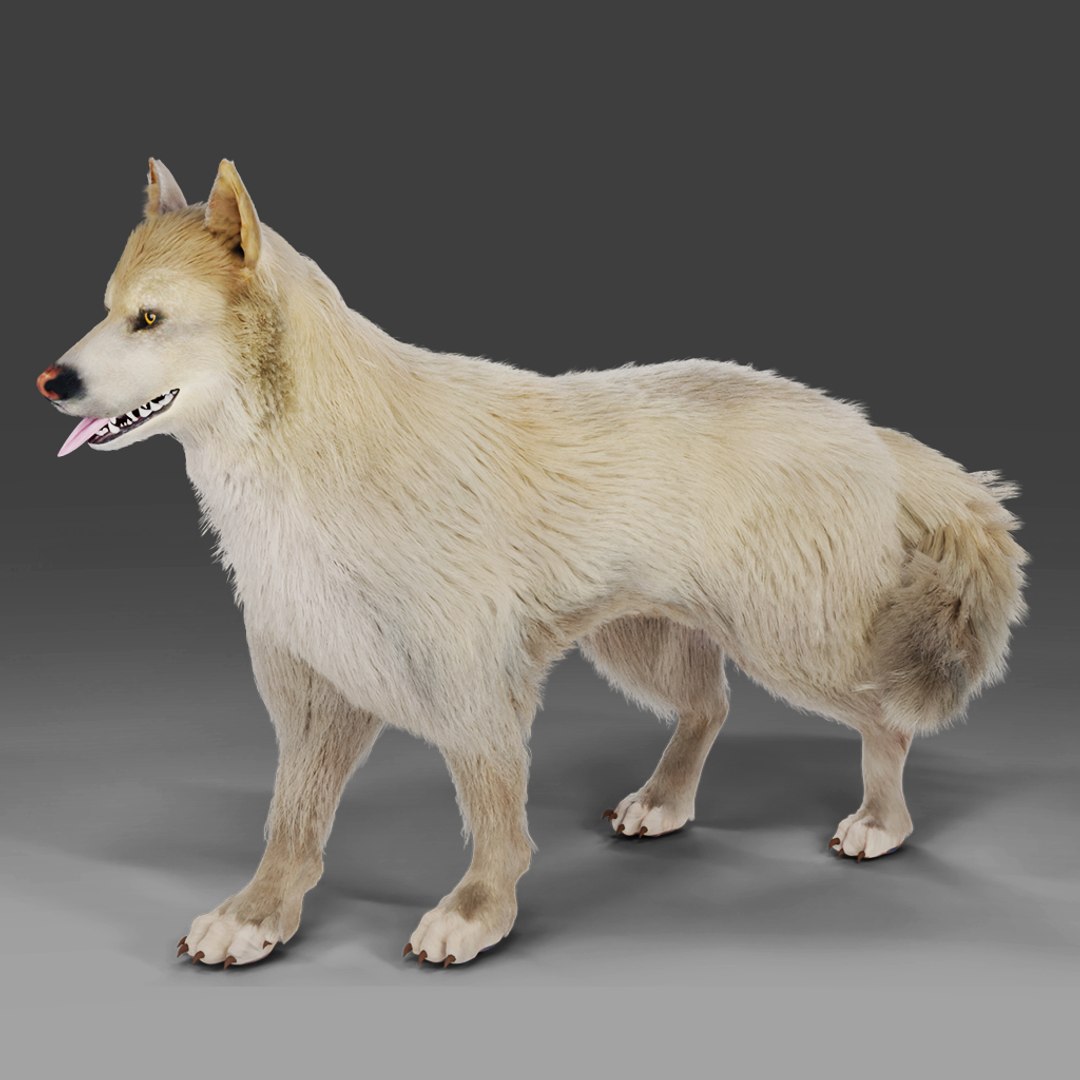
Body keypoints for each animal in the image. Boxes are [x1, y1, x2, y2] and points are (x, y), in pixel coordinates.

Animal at [38, 159, 1028, 969]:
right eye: (107, 309)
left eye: (150, 318)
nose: (51, 380)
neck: (310, 463)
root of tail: (864, 427)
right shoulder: (320, 696)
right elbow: (292, 819)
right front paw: (258, 914)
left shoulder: (475, 692)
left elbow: (495, 819)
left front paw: (478, 912)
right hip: (643, 641)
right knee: (710, 705)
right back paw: (664, 800)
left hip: (794, 643)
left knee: (884, 719)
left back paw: (880, 822)